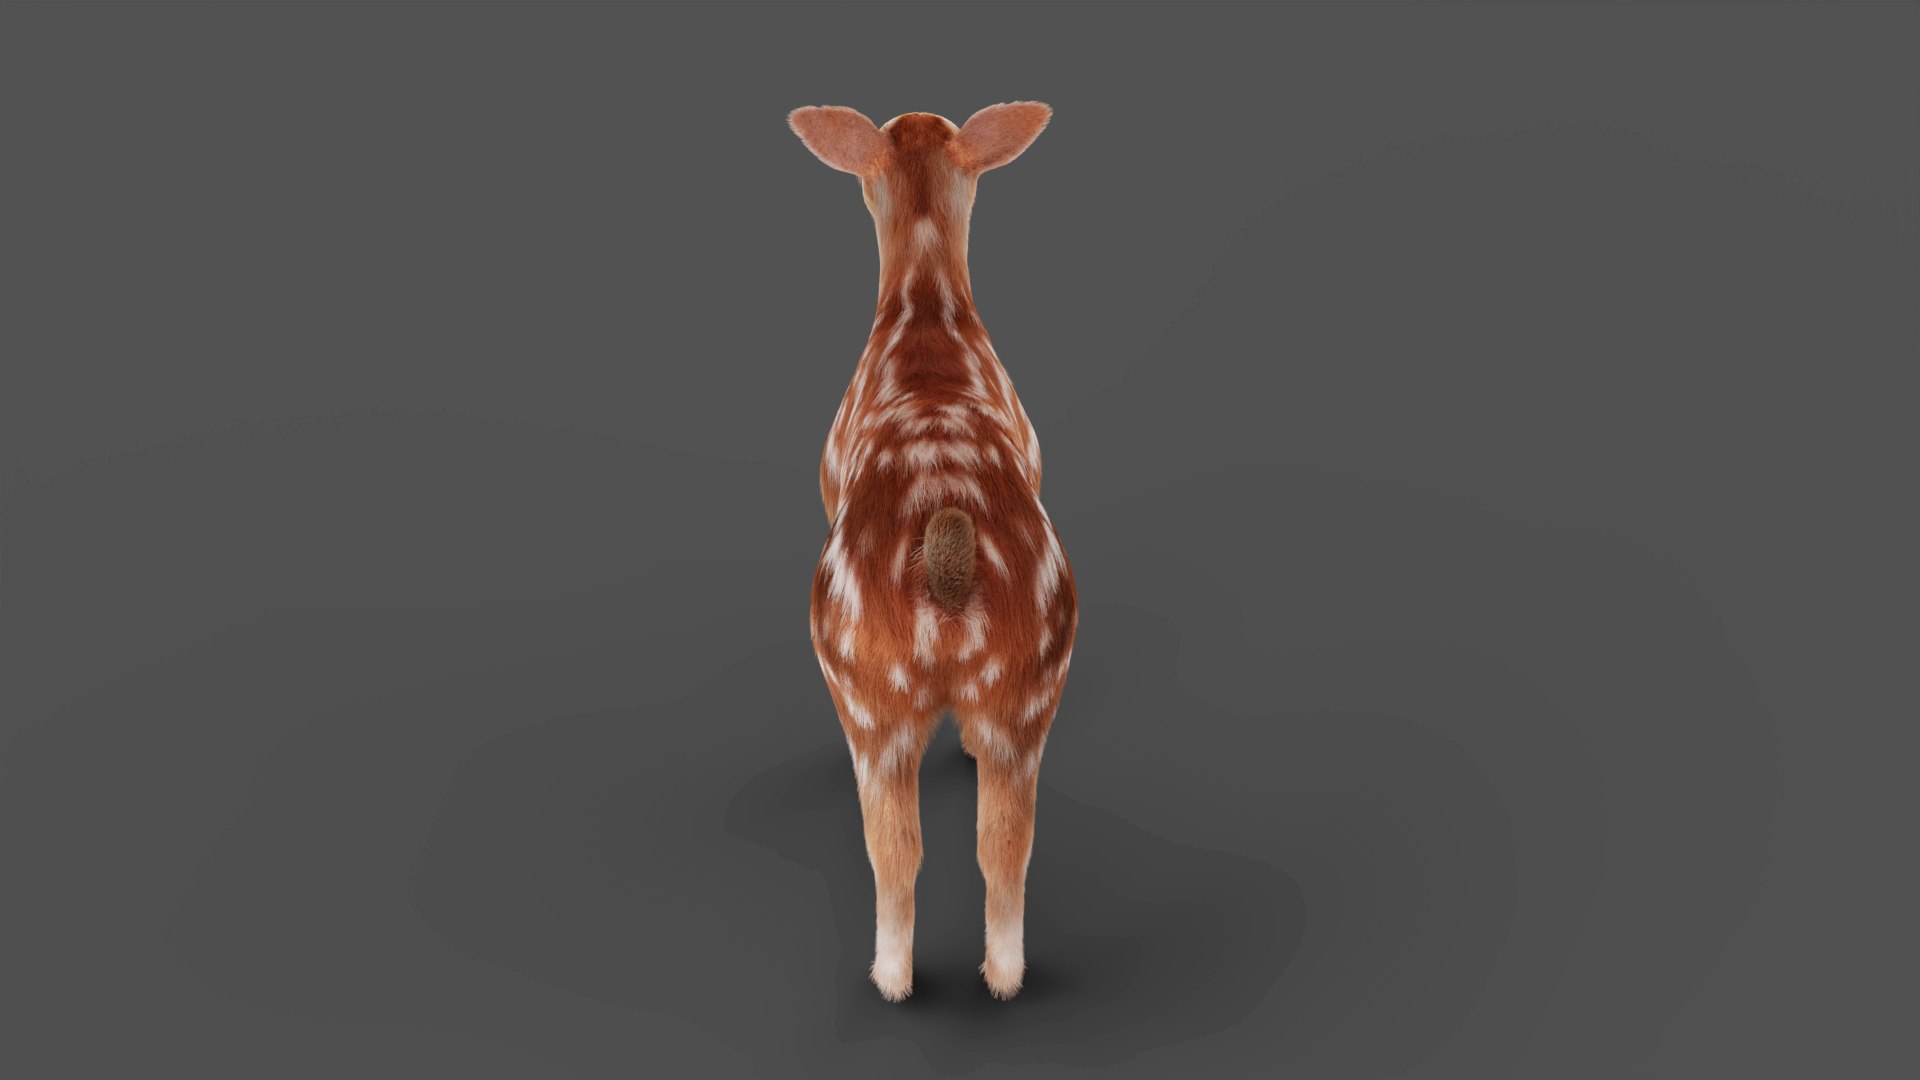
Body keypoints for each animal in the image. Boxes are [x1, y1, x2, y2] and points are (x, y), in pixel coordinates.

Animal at [787, 102, 1077, 1002]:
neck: (924, 315)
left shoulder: (825, 468)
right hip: (1029, 681)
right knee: (1004, 843)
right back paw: (1004, 976)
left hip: (867, 686)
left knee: (897, 850)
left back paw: (891, 977)